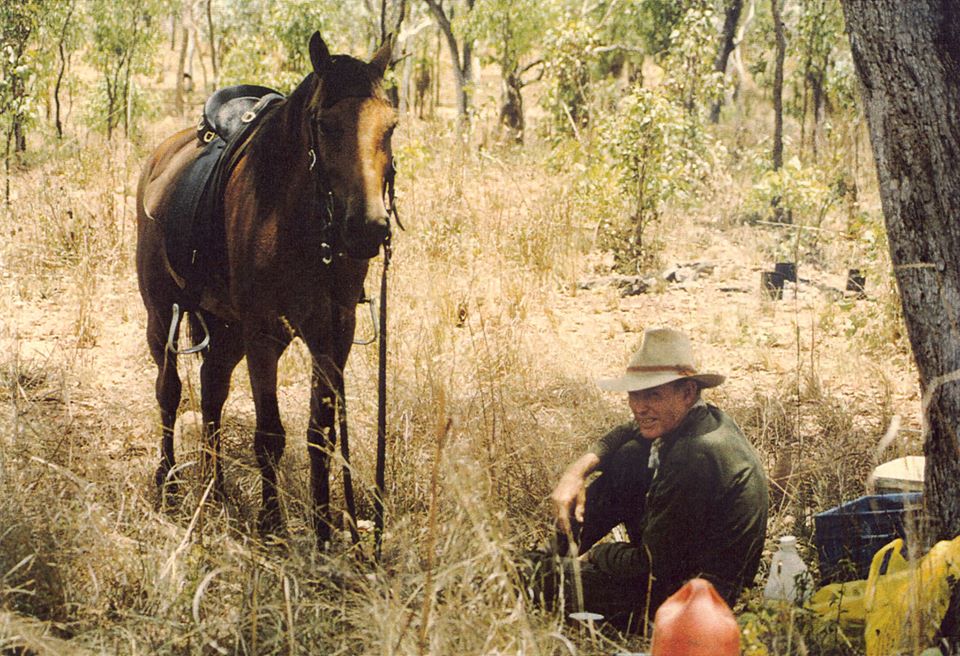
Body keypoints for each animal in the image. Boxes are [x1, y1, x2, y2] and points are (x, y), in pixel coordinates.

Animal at [135, 31, 397, 547]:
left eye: (391, 127)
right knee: (169, 392)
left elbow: (320, 433)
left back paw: (215, 489)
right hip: (162, 314)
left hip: (226, 327)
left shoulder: (333, 332)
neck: (298, 219)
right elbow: (270, 434)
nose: (367, 229)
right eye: (324, 125)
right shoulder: (264, 332)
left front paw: (323, 530)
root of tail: (159, 160)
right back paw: (168, 483)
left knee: (212, 389)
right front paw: (273, 525)